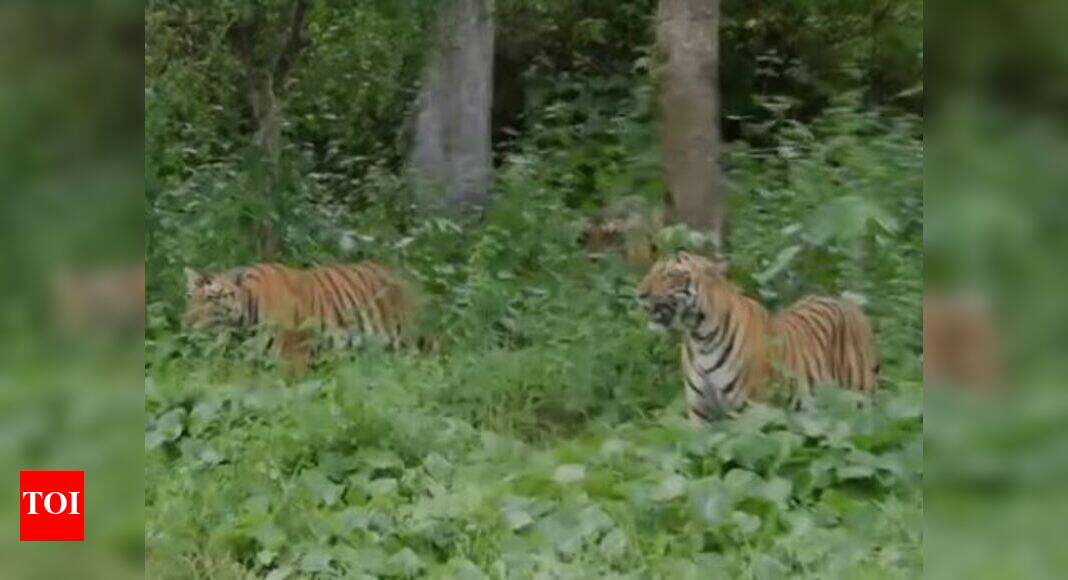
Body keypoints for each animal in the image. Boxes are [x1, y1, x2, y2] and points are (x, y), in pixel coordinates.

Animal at [637, 252, 878, 424]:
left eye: (672, 274)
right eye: (651, 270)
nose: (639, 294)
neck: (700, 337)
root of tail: (850, 304)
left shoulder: (750, 409)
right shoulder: (701, 413)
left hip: (858, 401)